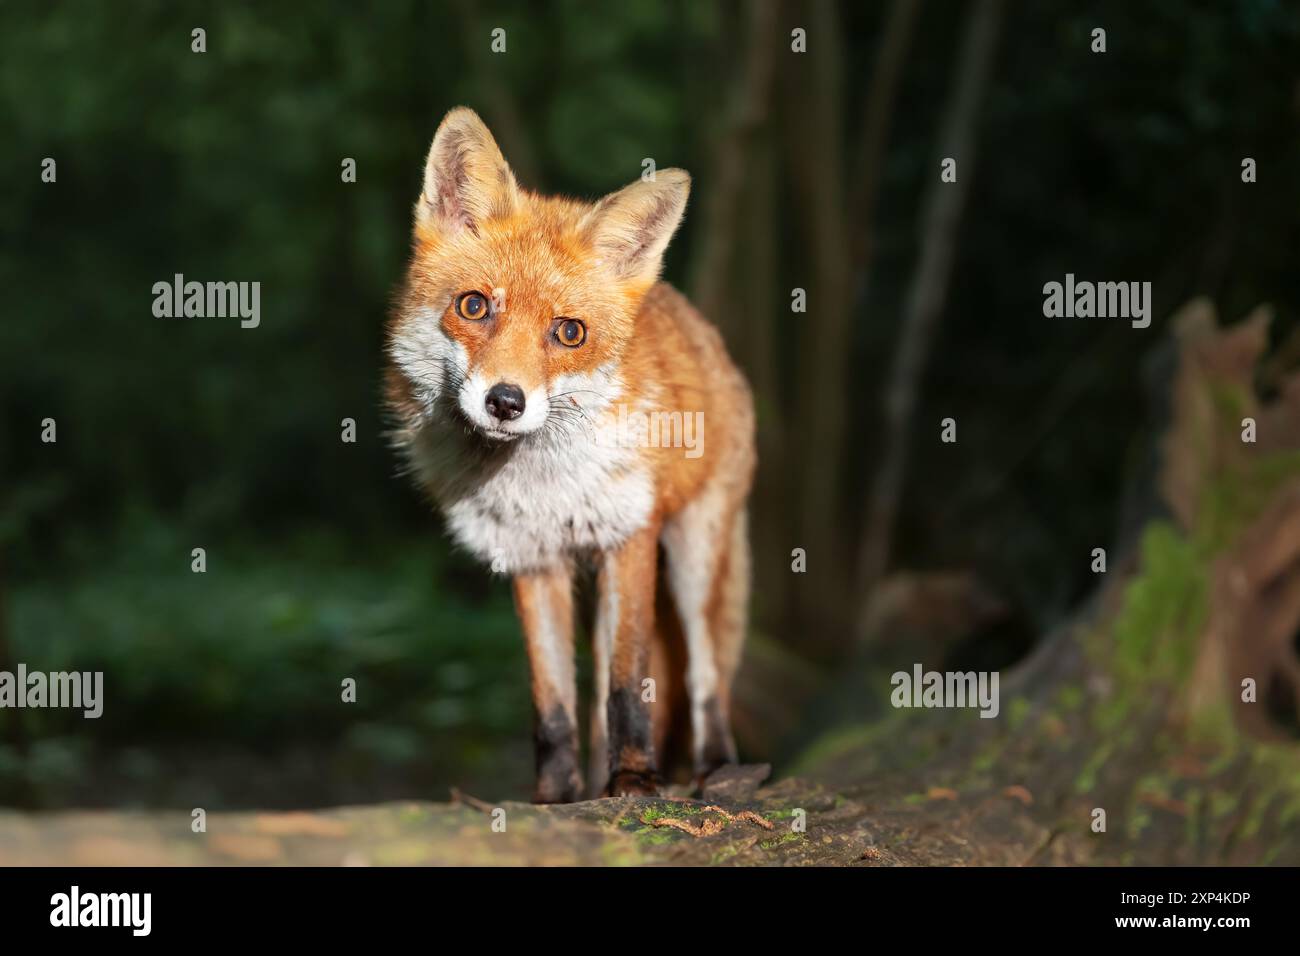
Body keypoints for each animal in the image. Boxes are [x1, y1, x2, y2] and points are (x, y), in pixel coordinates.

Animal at [385, 107, 755, 802]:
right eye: (474, 305)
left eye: (569, 333)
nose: (505, 401)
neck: (539, 483)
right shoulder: (533, 558)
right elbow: (554, 705)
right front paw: (556, 797)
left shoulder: (629, 536)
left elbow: (628, 687)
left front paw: (634, 779)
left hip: (695, 553)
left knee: (705, 675)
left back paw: (719, 767)